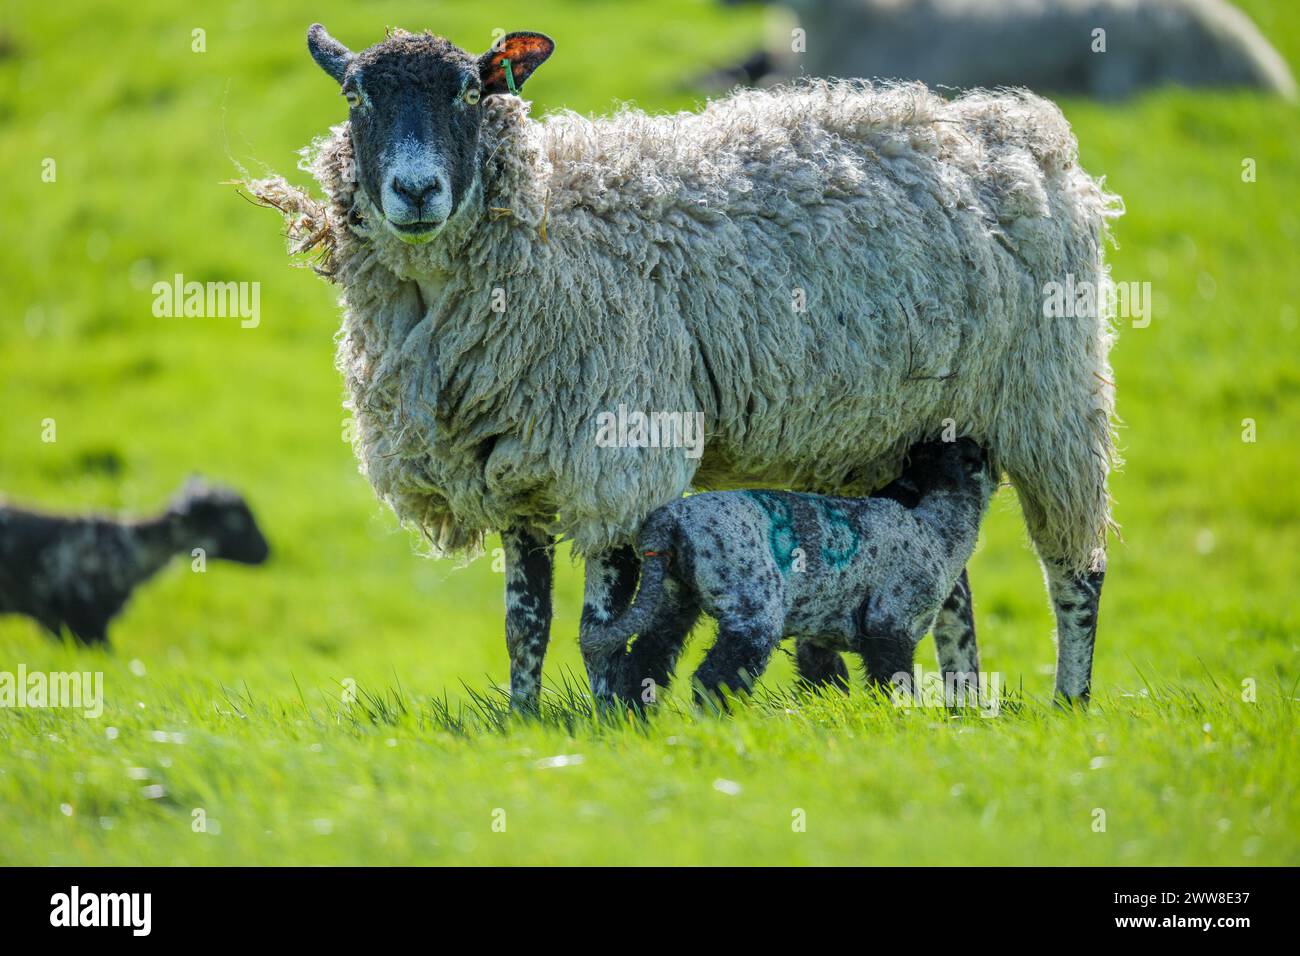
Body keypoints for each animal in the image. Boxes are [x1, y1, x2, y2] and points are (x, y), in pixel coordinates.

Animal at [580, 439, 997, 705]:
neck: (937, 528)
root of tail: (669, 520)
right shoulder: (889, 619)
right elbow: (892, 682)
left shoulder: (820, 634)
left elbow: (826, 683)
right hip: (754, 604)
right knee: (714, 678)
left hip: (672, 596)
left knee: (647, 661)